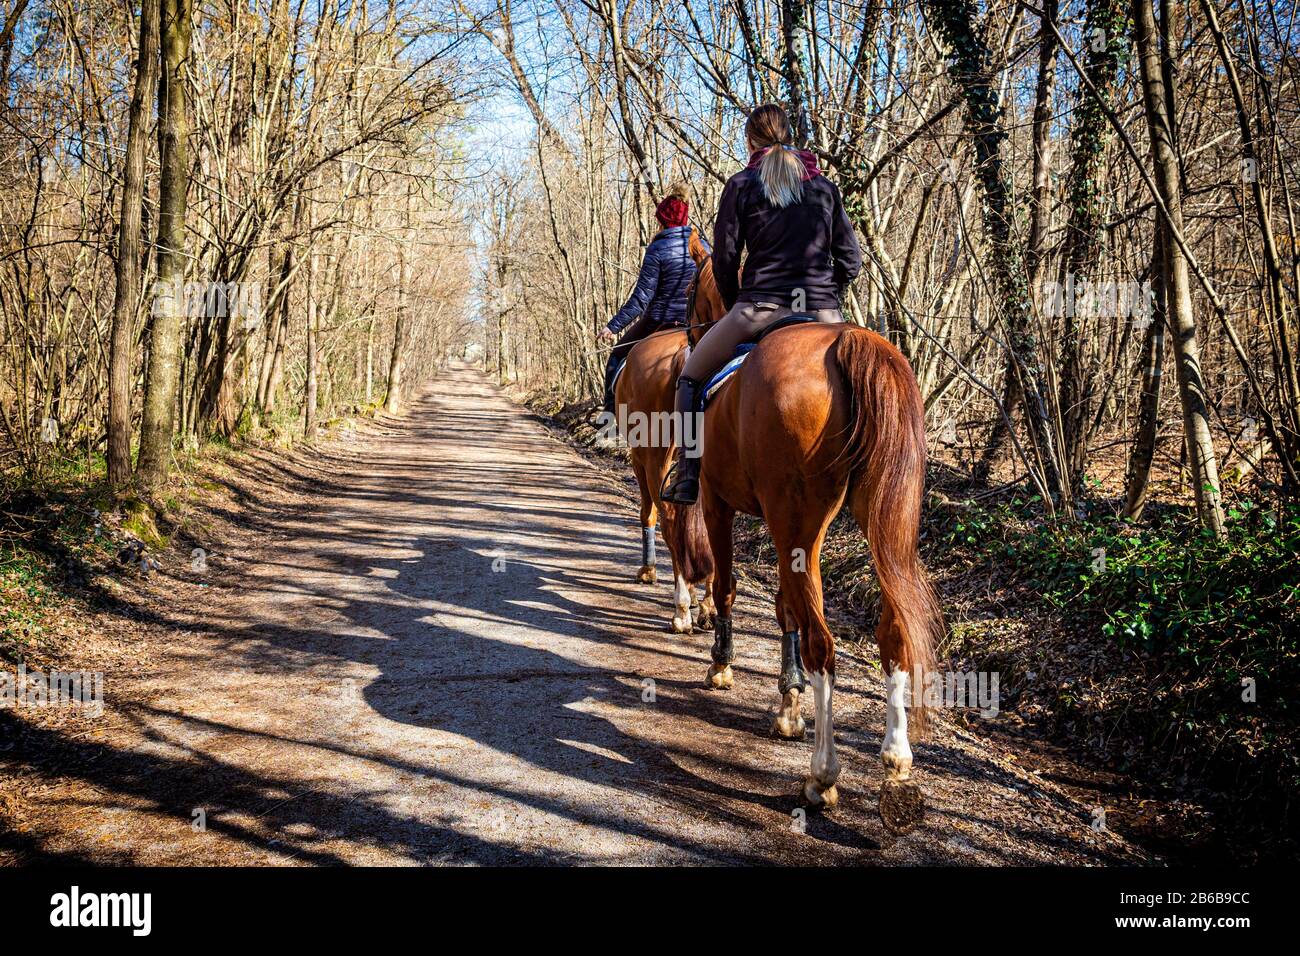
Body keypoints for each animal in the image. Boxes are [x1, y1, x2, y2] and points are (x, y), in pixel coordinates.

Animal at [686, 246, 942, 820]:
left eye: (691, 289)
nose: (689, 331)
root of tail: (847, 341)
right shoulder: (781, 529)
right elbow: (786, 609)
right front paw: (788, 704)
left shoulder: (717, 503)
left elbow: (728, 587)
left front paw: (723, 667)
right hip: (872, 522)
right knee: (891, 631)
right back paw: (896, 758)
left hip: (797, 522)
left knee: (823, 644)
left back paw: (822, 776)